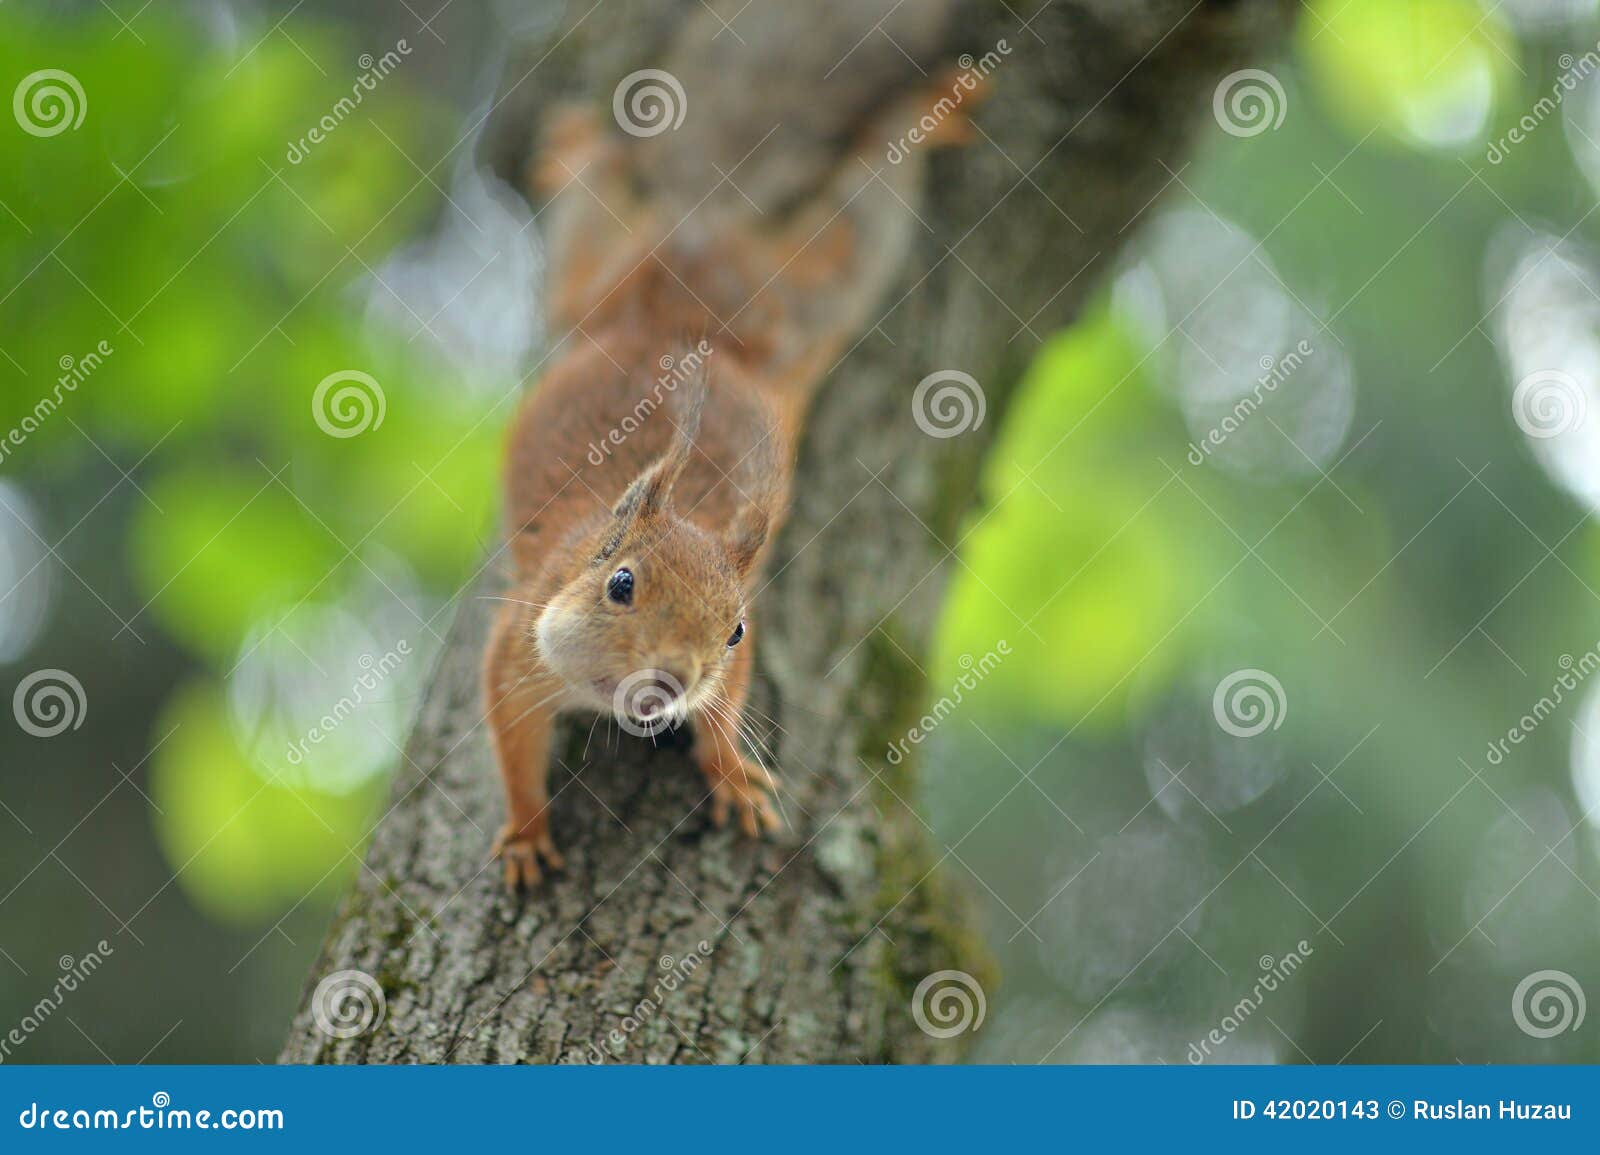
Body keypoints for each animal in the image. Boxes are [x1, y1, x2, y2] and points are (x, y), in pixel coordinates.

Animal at [484, 74, 981, 890]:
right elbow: (512, 742)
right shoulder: (518, 645)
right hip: (621, 303)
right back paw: (575, 149)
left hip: (796, 313)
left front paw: (732, 774)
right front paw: (526, 834)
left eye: (736, 629)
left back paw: (929, 115)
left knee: (857, 217)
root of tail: (683, 312)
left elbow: (725, 709)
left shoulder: (732, 665)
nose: (674, 679)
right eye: (621, 585)